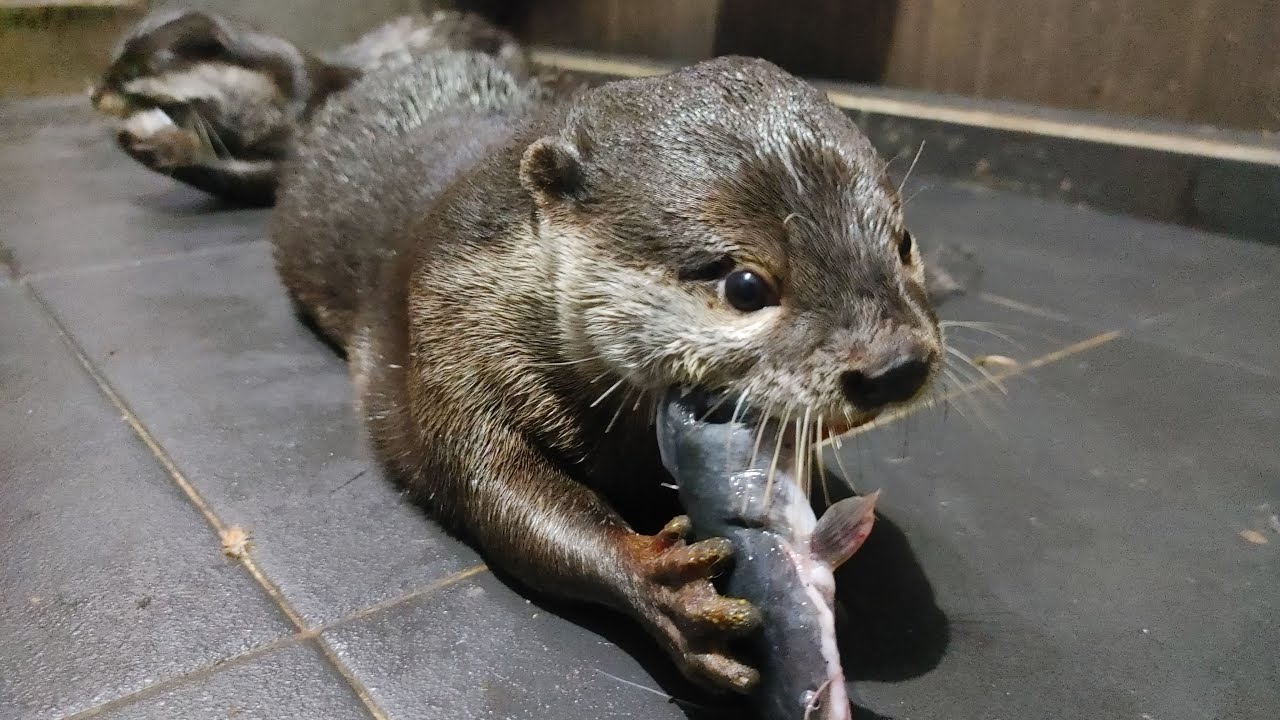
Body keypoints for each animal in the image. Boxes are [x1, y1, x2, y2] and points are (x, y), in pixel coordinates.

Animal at [270, 51, 942, 694]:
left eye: (904, 242)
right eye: (746, 286)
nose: (895, 364)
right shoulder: (451, 340)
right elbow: (492, 489)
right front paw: (667, 586)